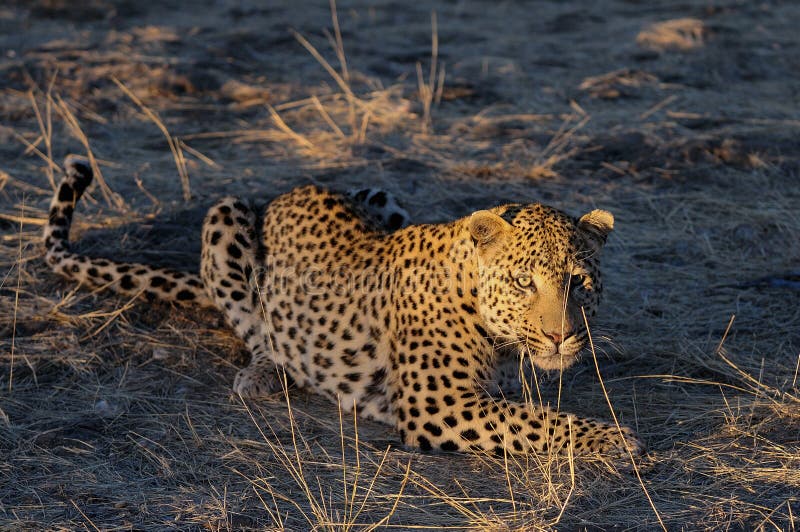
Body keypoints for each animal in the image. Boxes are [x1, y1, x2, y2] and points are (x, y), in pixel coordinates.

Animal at [44, 155, 642, 459]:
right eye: (523, 281)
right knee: (256, 327)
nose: (562, 337)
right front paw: (613, 438)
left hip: (381, 193)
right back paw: (263, 374)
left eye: (578, 281)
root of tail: (293, 191)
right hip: (225, 215)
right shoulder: (438, 405)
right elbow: (536, 423)